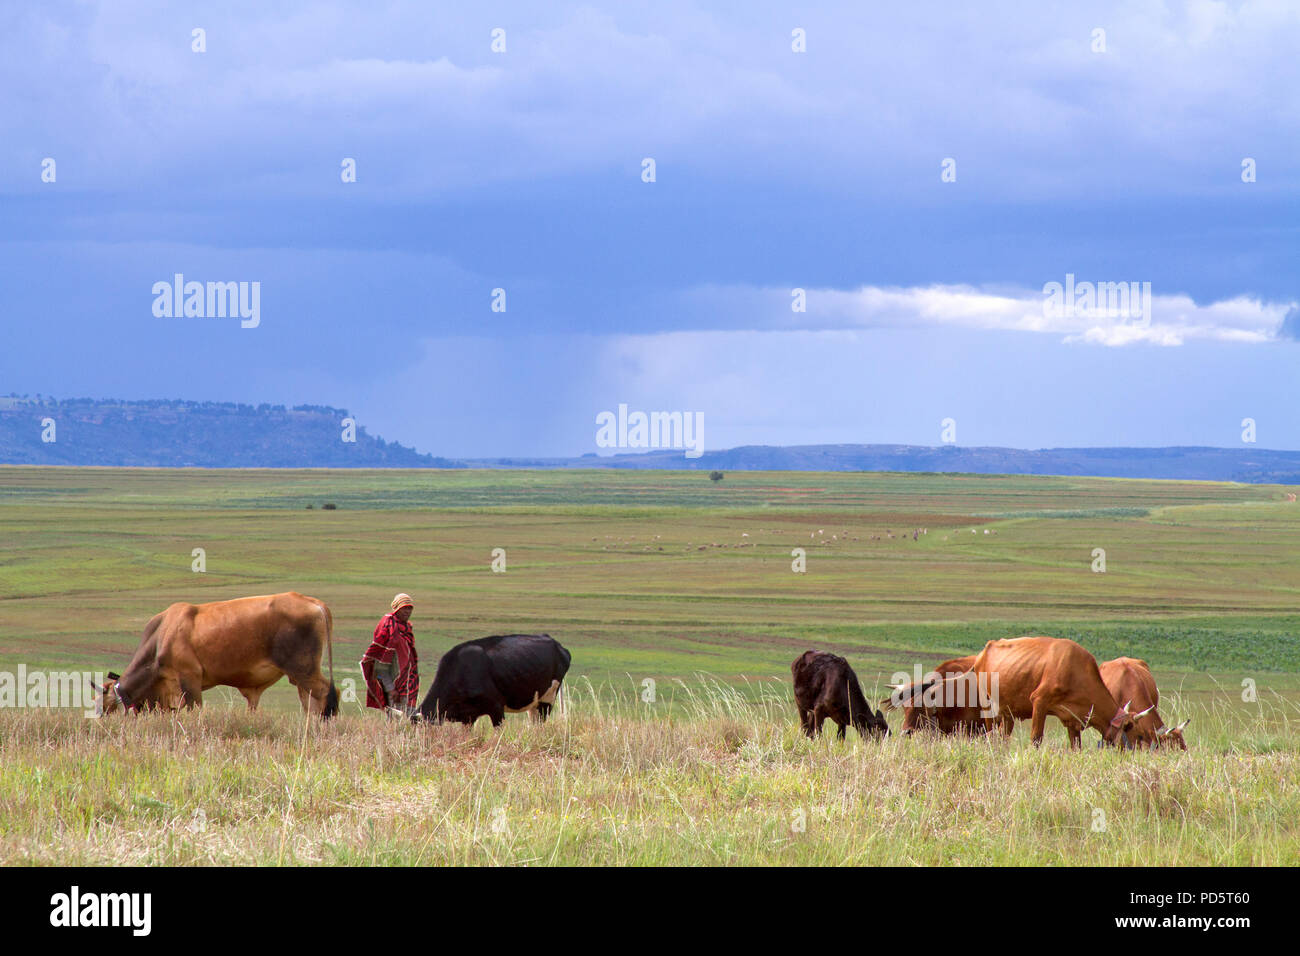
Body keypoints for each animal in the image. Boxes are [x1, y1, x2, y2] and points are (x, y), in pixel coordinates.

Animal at [95, 592, 338, 717]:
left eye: (105, 706)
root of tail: (314, 602)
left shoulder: (190, 679)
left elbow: (196, 710)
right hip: (300, 677)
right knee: (310, 702)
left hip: (304, 670)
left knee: (325, 693)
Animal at [891, 636, 1150, 748]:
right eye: (1136, 733)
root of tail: (982, 653)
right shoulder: (1040, 703)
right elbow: (1036, 738)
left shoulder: (1072, 719)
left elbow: (1075, 744)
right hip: (988, 708)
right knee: (991, 733)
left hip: (1006, 713)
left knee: (1004, 735)